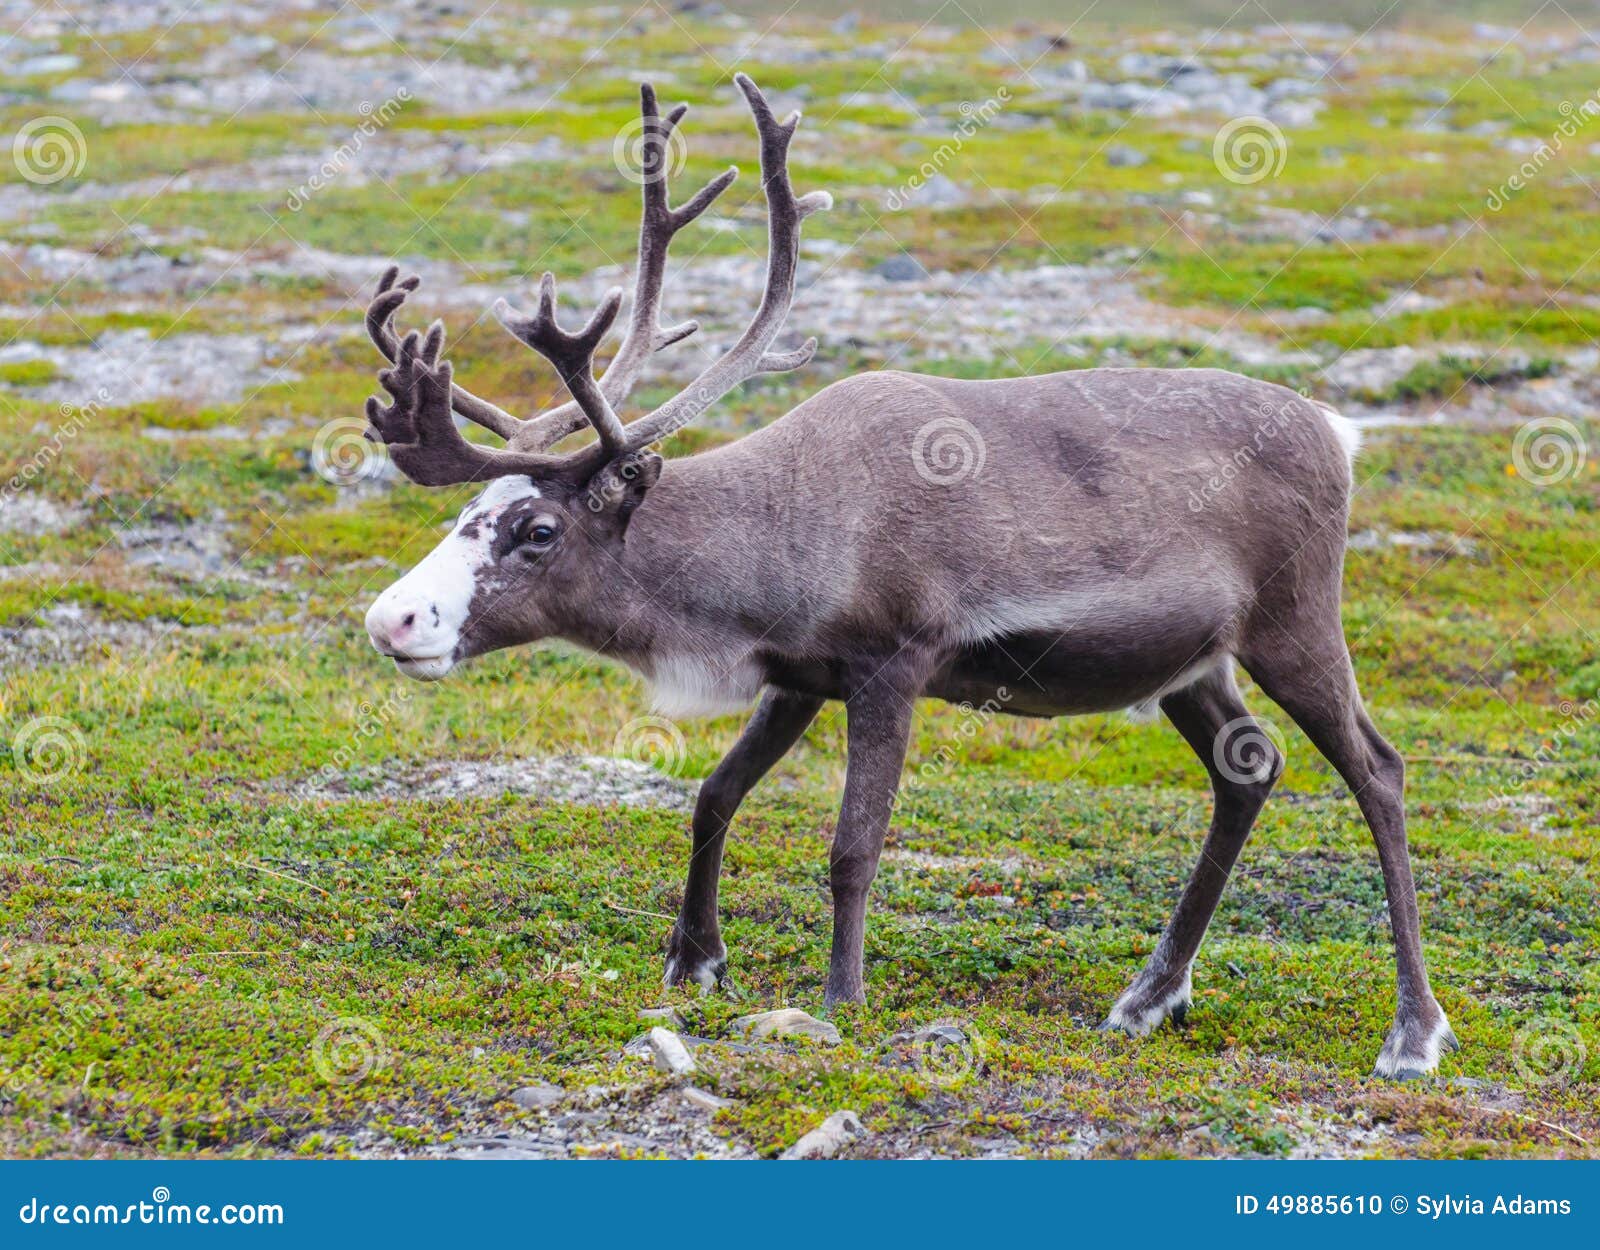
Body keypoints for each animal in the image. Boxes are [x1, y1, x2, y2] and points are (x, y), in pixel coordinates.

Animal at [358, 74, 1456, 1079]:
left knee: (1378, 768)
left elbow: (854, 843)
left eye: (537, 529)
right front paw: (695, 960)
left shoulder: (894, 661)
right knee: (1248, 765)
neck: (782, 530)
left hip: (1295, 619)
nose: (392, 619)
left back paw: (1411, 1031)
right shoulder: (802, 675)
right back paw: (1148, 995)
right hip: (1191, 660)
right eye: (463, 515)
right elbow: (713, 792)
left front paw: (840, 997)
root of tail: (1339, 430)